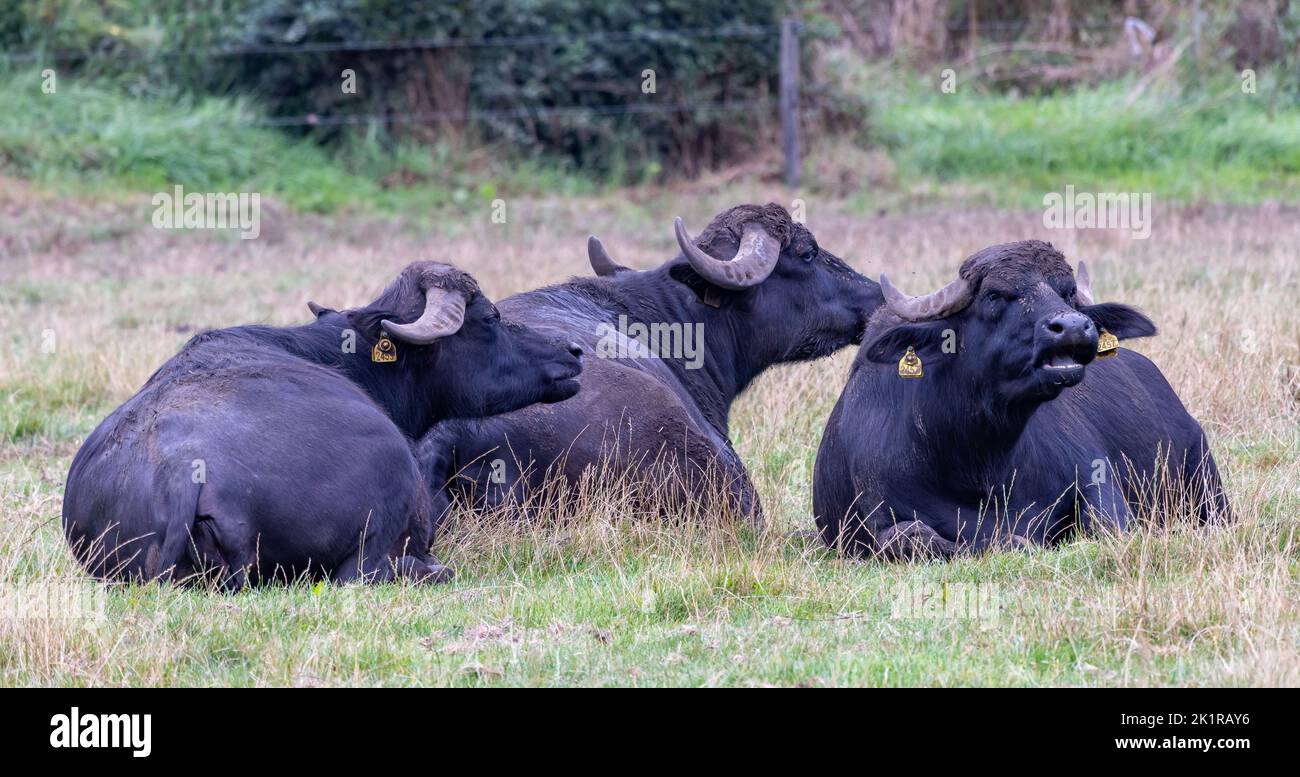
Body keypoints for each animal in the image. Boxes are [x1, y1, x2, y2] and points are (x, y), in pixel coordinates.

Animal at [813, 240, 1230, 558]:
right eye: (994, 295)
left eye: (1068, 292)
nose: (1074, 326)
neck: (978, 462)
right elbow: (914, 537)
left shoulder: (1095, 475)